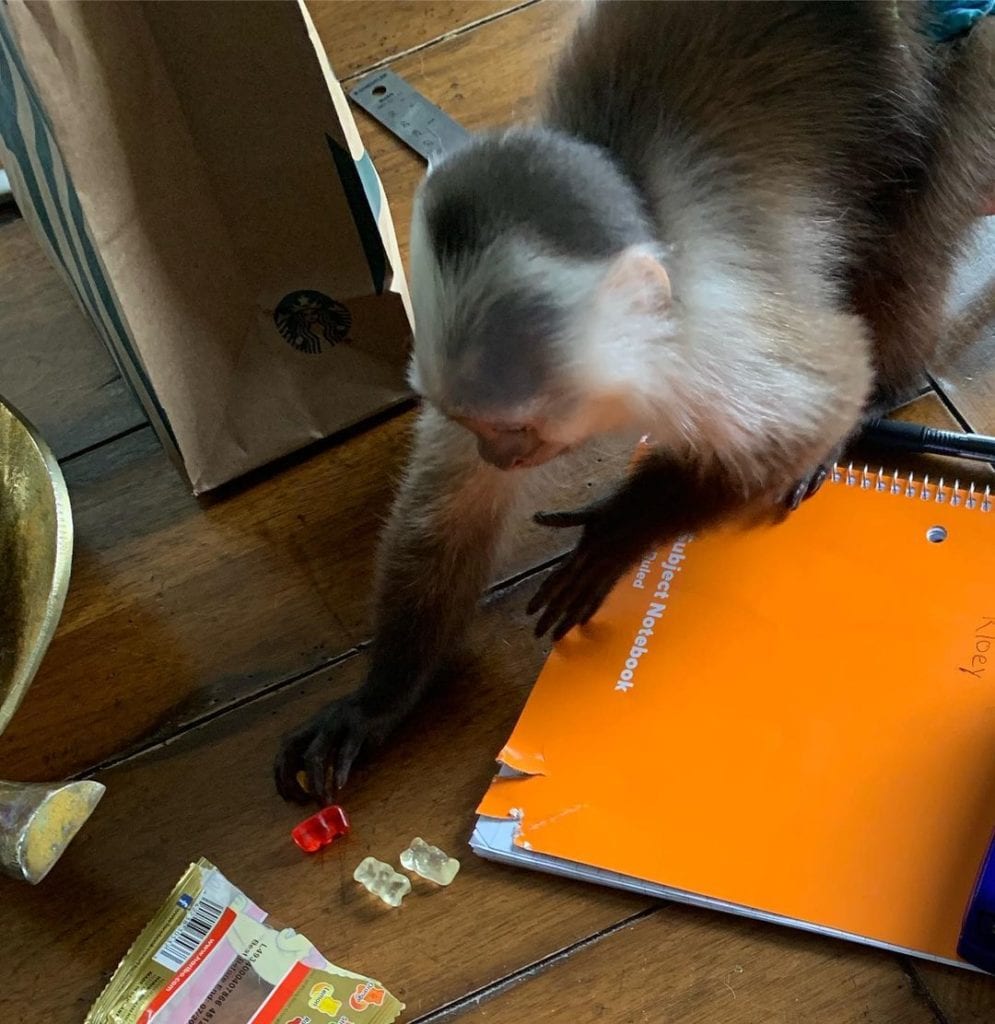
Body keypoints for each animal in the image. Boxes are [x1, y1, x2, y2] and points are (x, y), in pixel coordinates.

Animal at [275, 1, 995, 803]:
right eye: (475, 425)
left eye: (520, 428)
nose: (498, 453)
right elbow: (448, 515)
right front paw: (378, 700)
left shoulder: (713, 334)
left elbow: (826, 391)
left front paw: (621, 527)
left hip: (960, 63)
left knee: (910, 233)